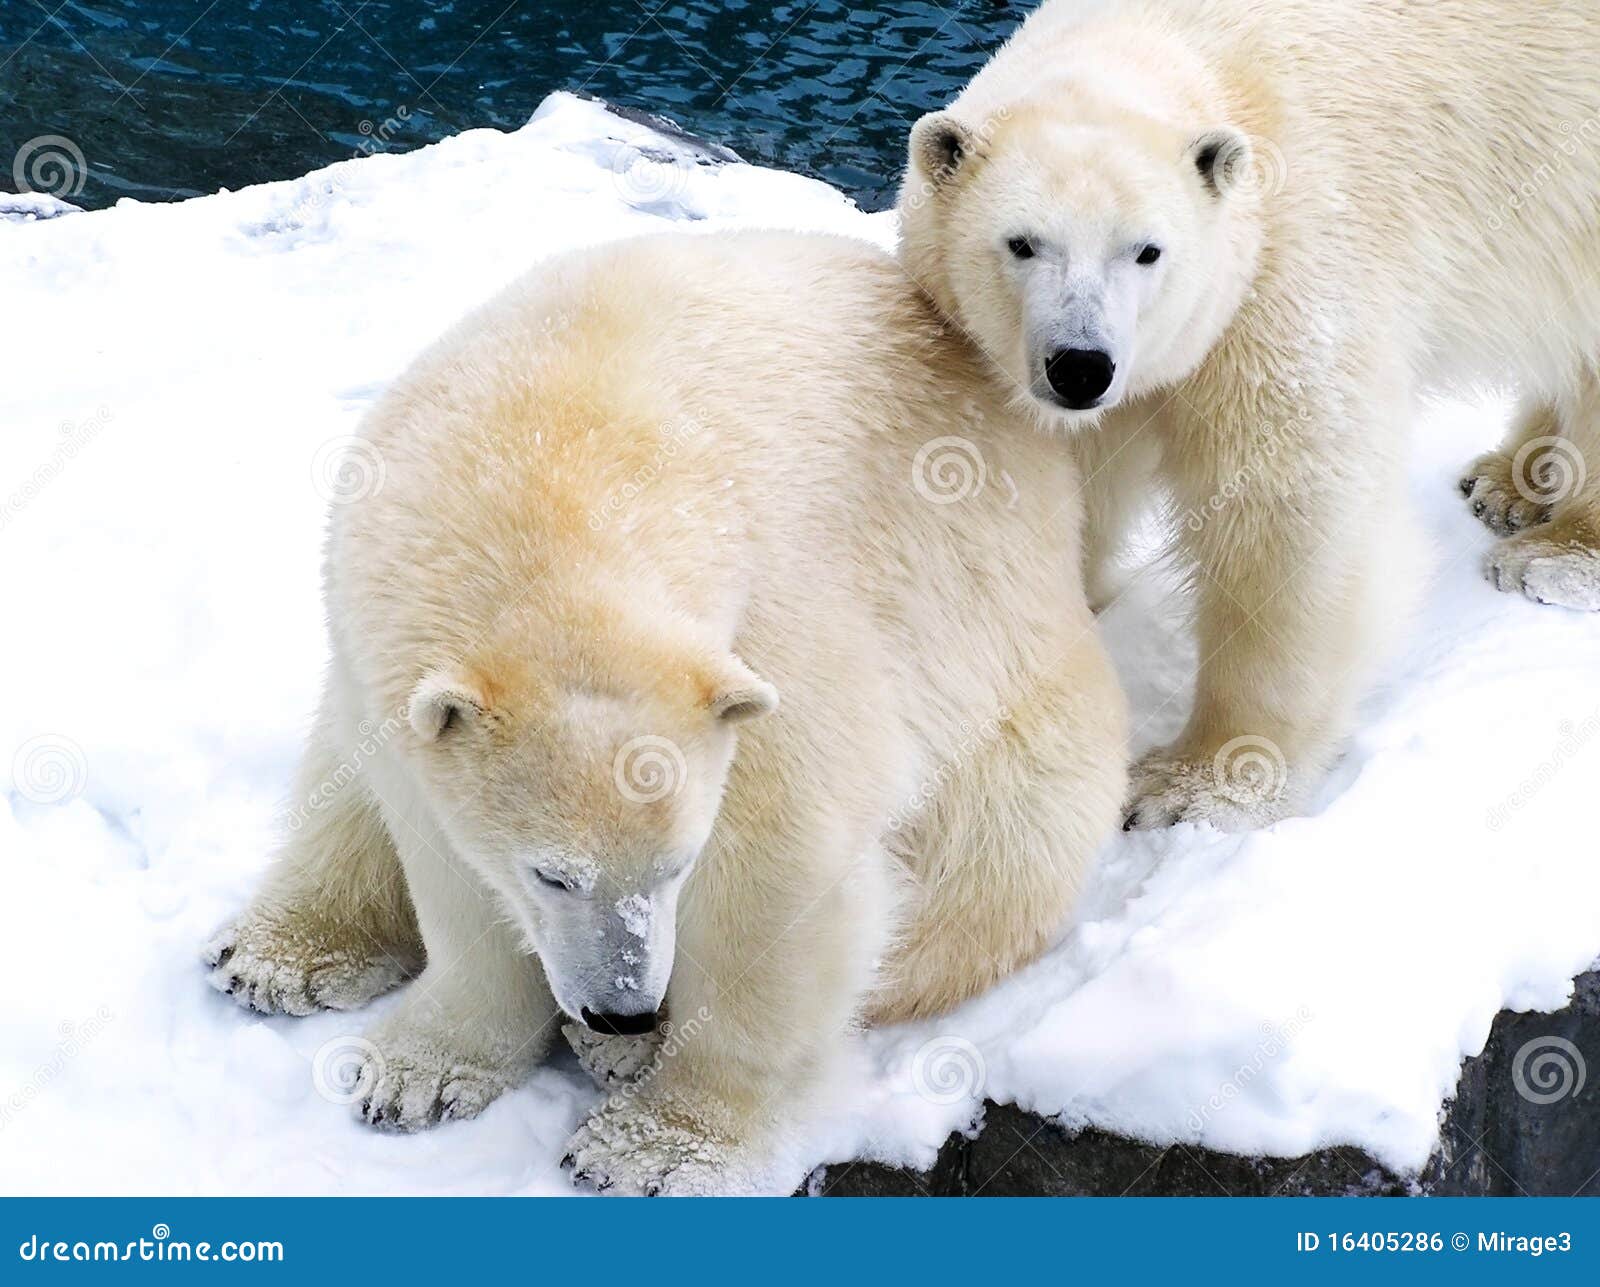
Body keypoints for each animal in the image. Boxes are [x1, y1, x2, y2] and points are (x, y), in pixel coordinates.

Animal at [203, 230, 1128, 1194]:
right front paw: (417, 1075)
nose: (624, 1011)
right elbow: (446, 853)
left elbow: (780, 870)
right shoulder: (383, 633)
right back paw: (276, 955)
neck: (561, 456)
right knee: (335, 780)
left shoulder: (772, 637)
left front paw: (647, 1148)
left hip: (1017, 715)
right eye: (553, 875)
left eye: (678, 866)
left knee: (979, 879)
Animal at [897, 0, 1600, 831]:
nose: (1081, 364)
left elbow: (1287, 521)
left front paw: (1193, 785)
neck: (1186, 49)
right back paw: (1509, 481)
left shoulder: (1282, 274)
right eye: (1021, 243)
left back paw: (1551, 554)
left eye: (1148, 250)